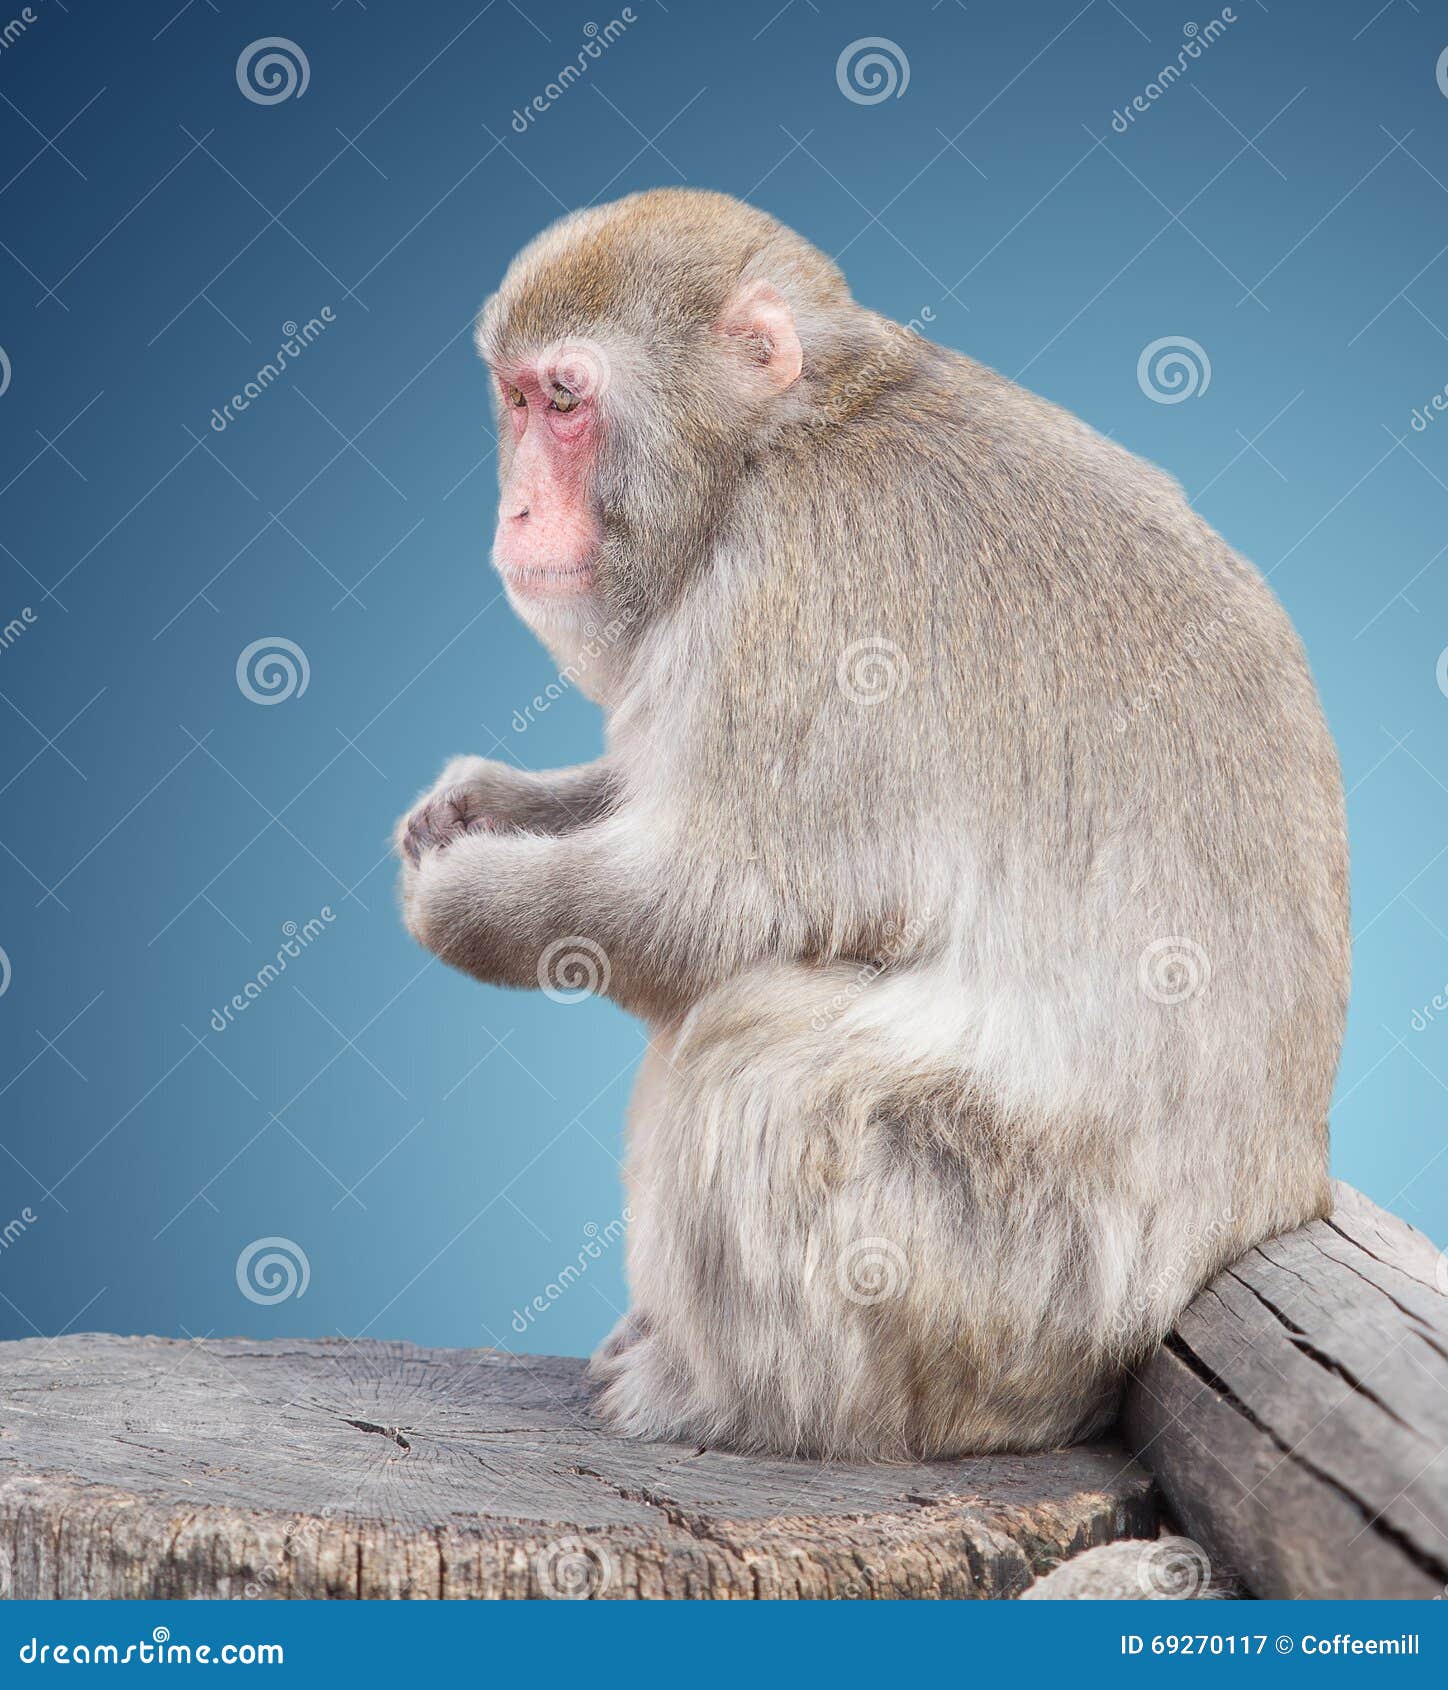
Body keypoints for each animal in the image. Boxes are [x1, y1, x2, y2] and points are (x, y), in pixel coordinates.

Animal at [395, 188, 1349, 1462]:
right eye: (513, 399)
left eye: (563, 400)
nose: (512, 508)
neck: (782, 436)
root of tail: (1263, 1211)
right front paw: (483, 807)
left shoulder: (797, 594)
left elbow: (710, 905)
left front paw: (460, 905)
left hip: (1009, 1282)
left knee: (755, 1059)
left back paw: (726, 1393)